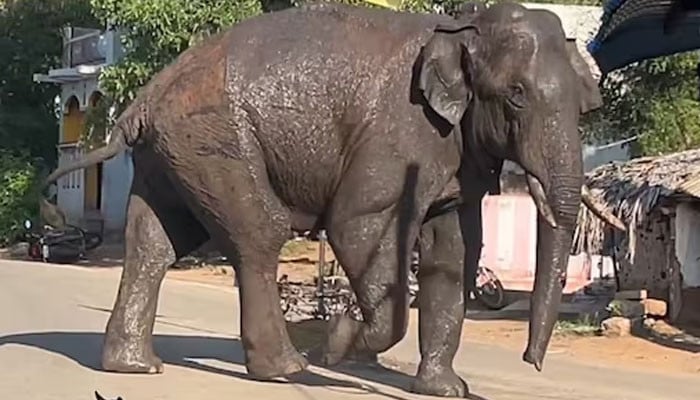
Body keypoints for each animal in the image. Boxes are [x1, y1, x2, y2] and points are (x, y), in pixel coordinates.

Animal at [43, 1, 625, 397]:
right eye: (517, 96)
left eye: (586, 106)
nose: (532, 362)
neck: (463, 25)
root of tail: (142, 100)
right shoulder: (399, 133)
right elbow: (357, 223)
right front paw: (340, 346)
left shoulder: (454, 153)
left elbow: (455, 250)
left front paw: (446, 390)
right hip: (217, 141)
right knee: (256, 237)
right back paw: (289, 369)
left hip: (176, 151)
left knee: (155, 243)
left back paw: (136, 366)